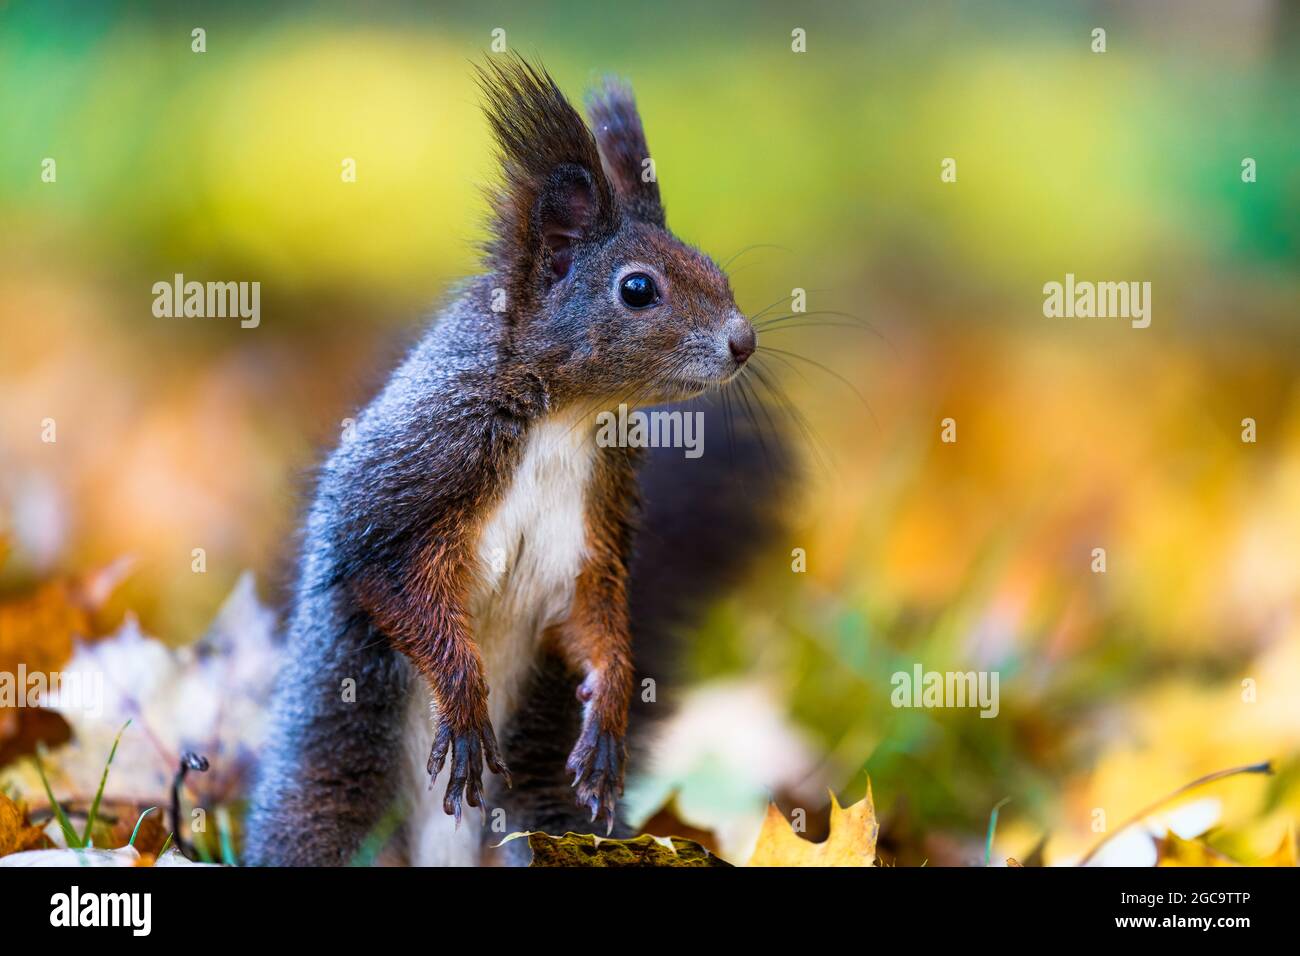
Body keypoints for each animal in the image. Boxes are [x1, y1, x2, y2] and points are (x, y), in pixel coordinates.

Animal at [244, 56, 790, 866]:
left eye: (711, 265)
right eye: (638, 288)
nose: (743, 340)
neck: (565, 416)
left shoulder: (598, 517)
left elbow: (594, 611)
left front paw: (610, 705)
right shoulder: (420, 464)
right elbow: (394, 585)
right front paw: (464, 698)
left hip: (542, 819)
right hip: (337, 789)